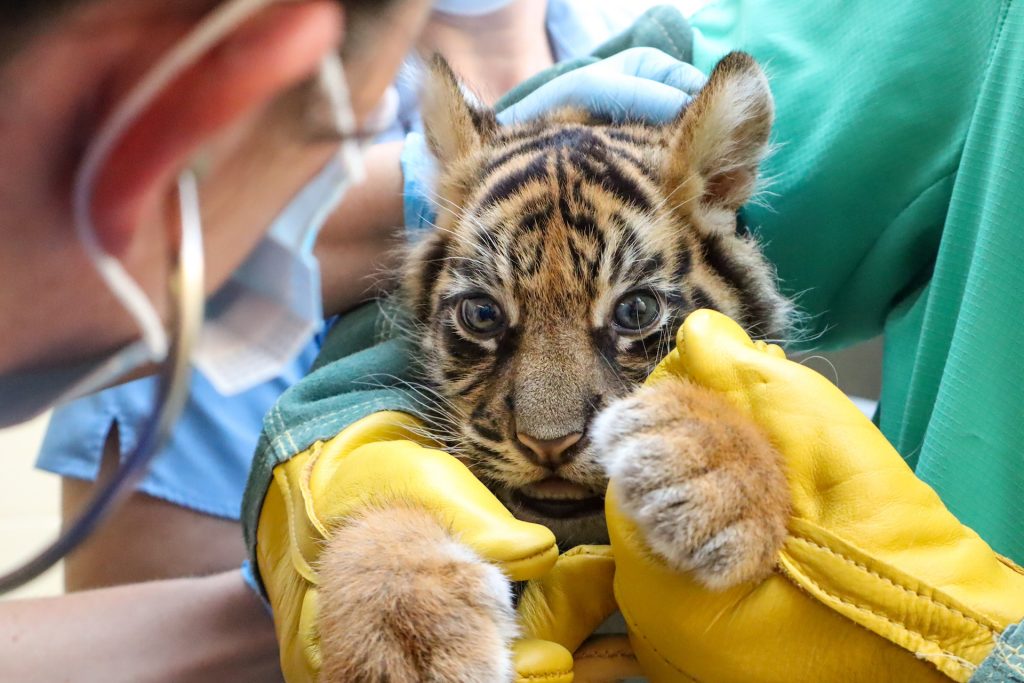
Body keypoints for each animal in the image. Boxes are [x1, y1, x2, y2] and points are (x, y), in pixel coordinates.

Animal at [316, 52, 794, 682]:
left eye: (635, 311)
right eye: (483, 314)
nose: (549, 444)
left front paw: (714, 482)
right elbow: (391, 493)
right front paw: (405, 636)